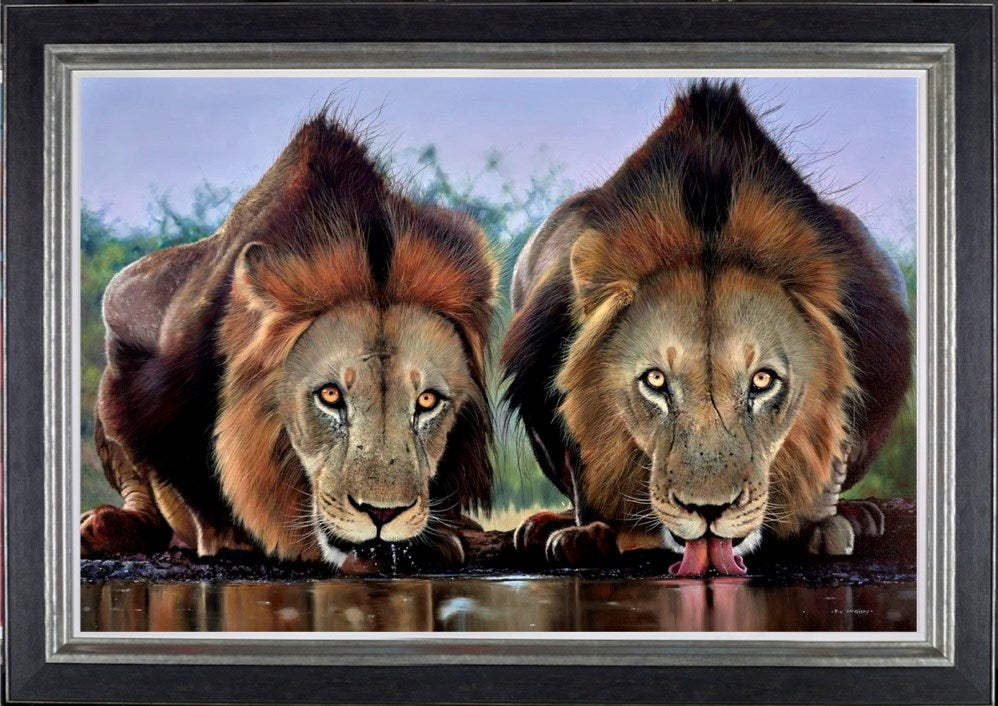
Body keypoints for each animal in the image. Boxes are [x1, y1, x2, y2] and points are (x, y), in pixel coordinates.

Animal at [80, 112, 498, 572]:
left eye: (427, 401)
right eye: (330, 395)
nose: (381, 513)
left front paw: (440, 536)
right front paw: (229, 537)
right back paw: (103, 524)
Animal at [501, 82, 911, 574]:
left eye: (762, 381)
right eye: (655, 381)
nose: (709, 511)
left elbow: (835, 445)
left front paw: (819, 524)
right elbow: (578, 456)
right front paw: (586, 534)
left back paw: (861, 513)